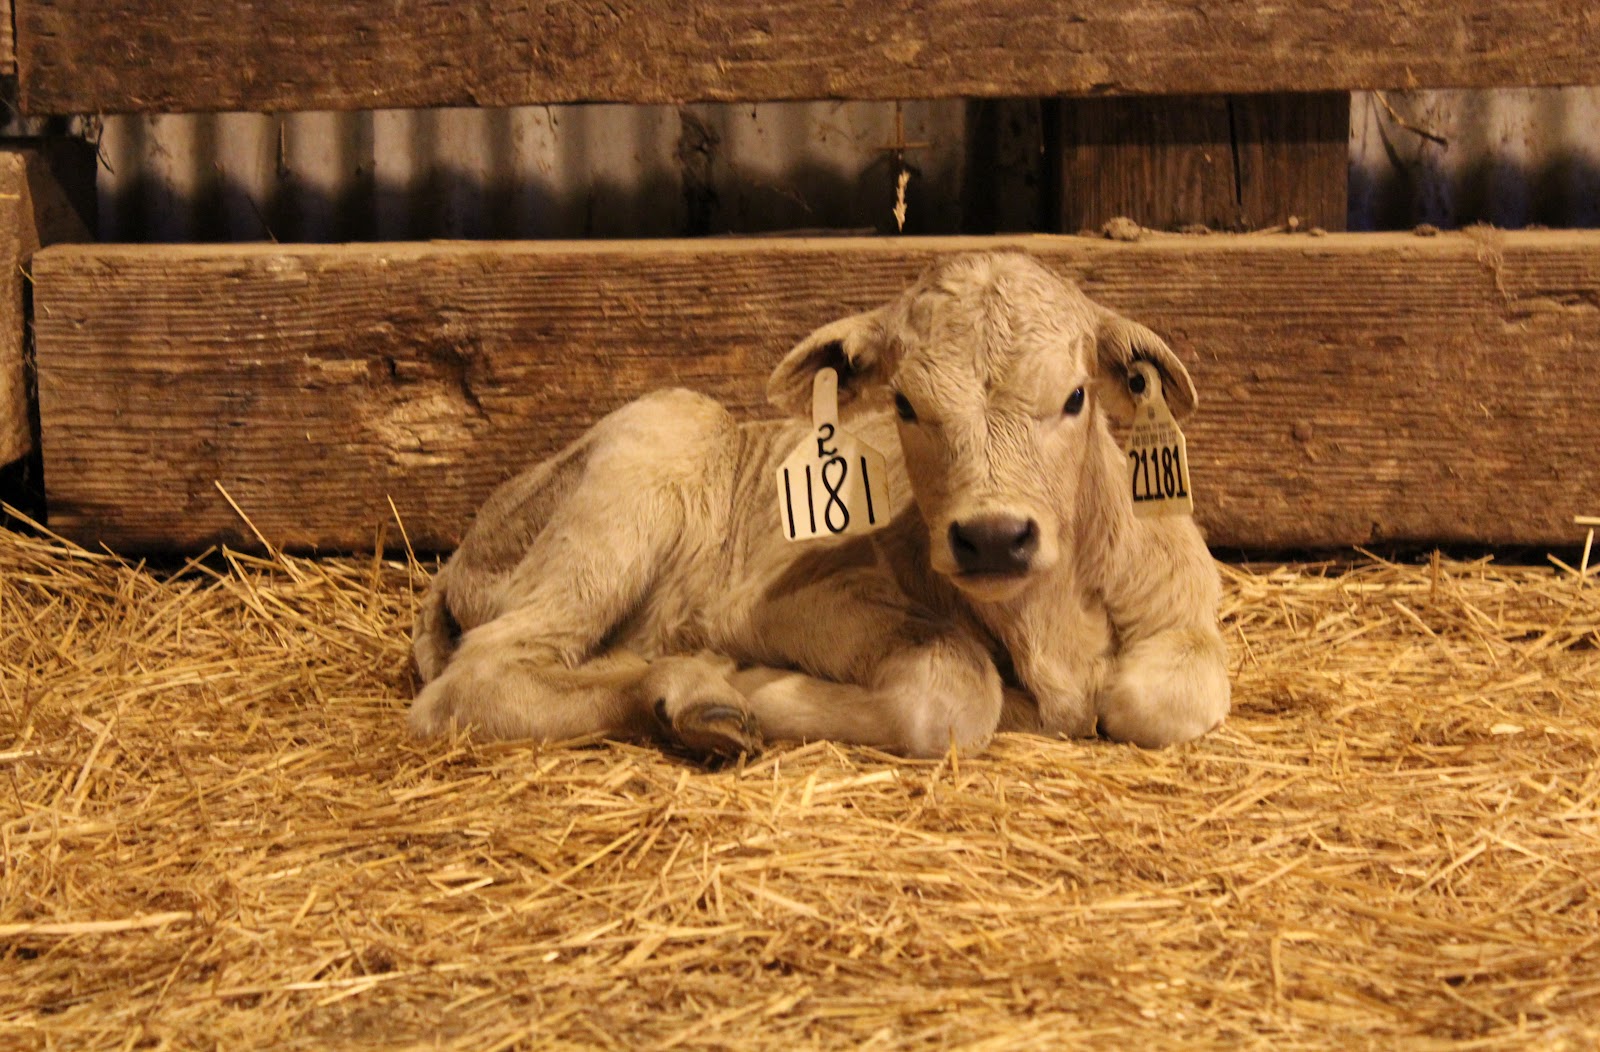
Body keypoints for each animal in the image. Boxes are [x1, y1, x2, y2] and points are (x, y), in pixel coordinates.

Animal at [409, 251, 1230, 757]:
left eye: (1075, 397)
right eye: (904, 404)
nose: (995, 536)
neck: (1047, 628)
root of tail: (461, 558)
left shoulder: (1185, 606)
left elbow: (1164, 700)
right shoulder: (775, 602)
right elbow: (950, 696)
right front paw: (749, 684)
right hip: (652, 448)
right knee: (481, 675)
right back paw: (693, 694)